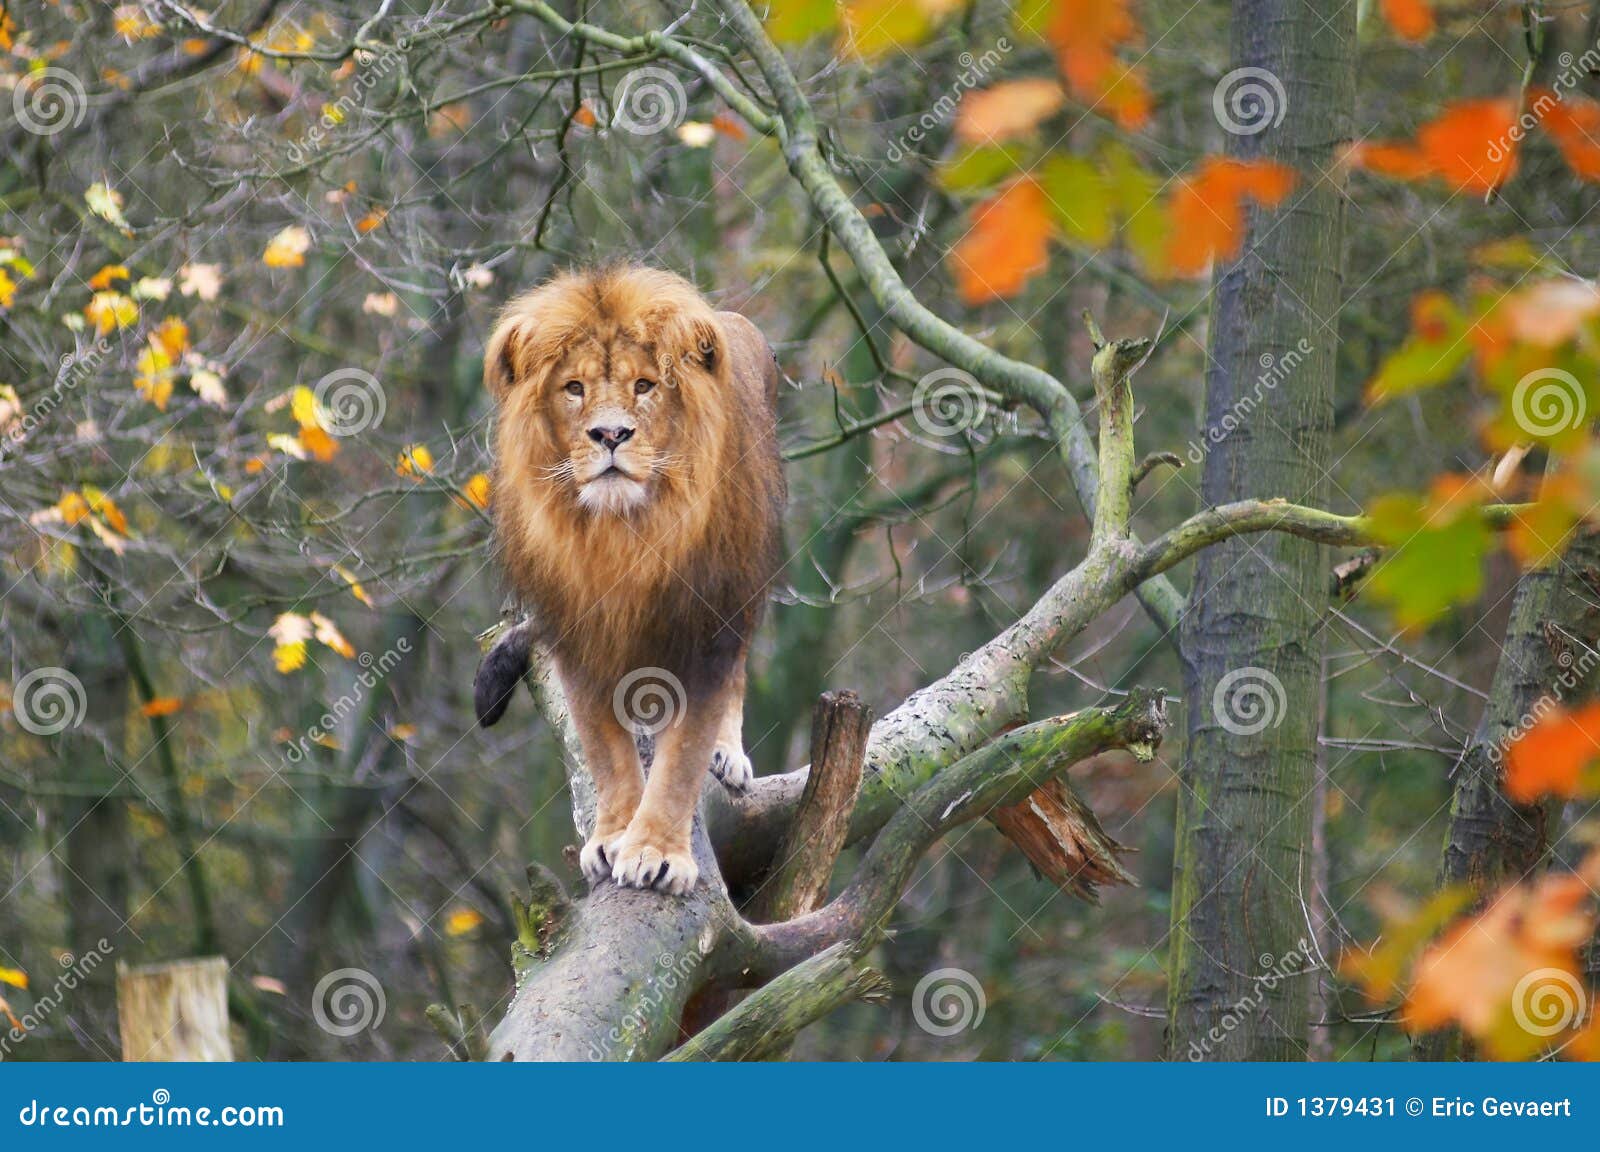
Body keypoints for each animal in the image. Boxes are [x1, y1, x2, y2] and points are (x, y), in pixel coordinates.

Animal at [474, 264, 785, 896]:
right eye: (573, 388)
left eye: (645, 386)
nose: (611, 435)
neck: (623, 535)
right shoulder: (576, 638)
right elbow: (606, 753)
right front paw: (614, 837)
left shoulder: (708, 624)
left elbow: (683, 756)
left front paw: (656, 852)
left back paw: (727, 754)